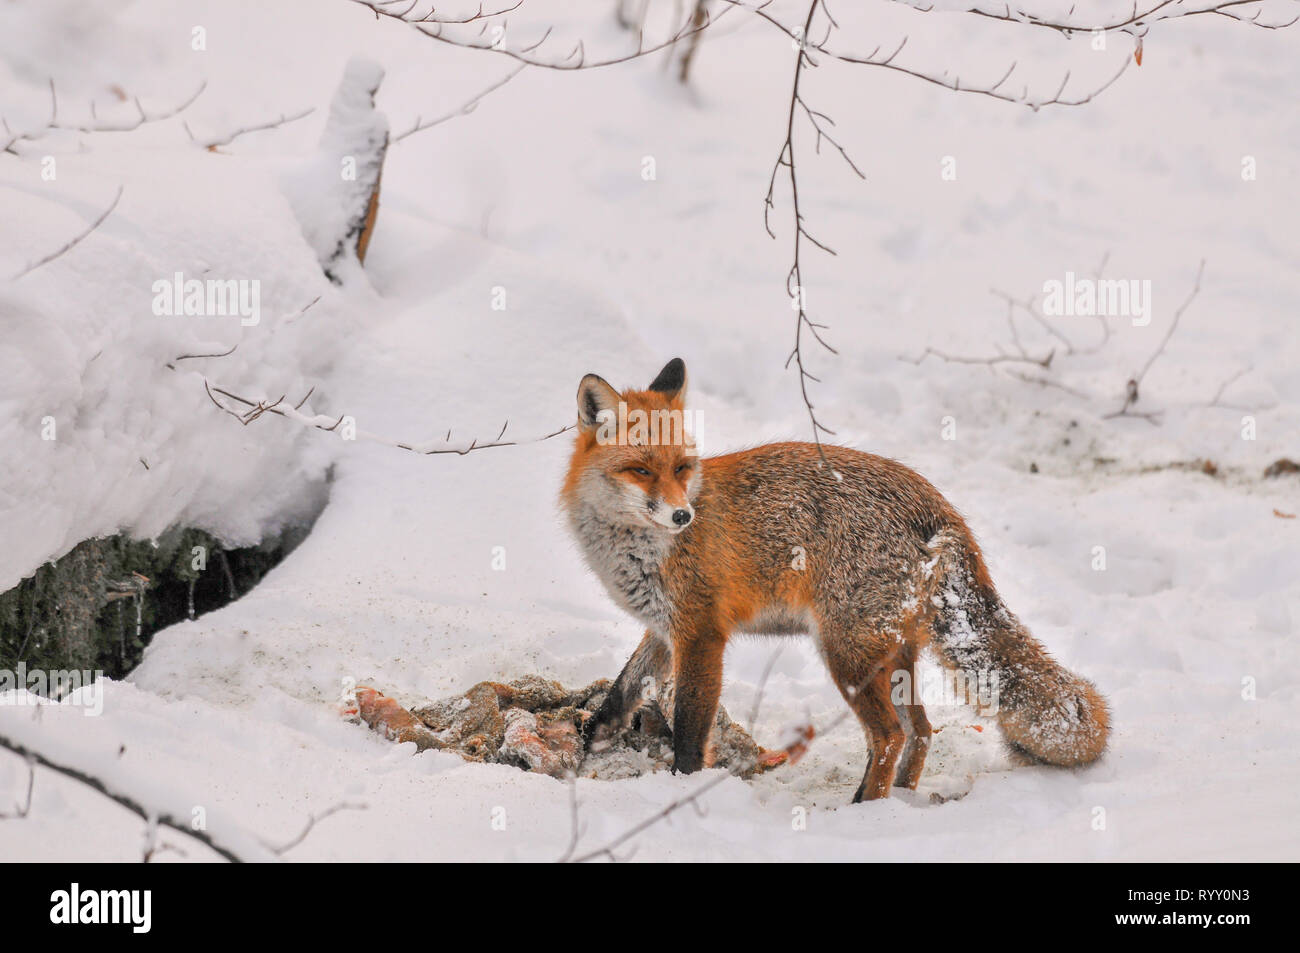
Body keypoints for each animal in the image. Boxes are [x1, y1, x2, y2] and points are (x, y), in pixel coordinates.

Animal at [561, 358, 1109, 802]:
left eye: (681, 467)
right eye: (639, 470)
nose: (682, 516)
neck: (637, 550)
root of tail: (936, 504)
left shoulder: (700, 633)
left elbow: (691, 734)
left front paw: (681, 791)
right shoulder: (664, 627)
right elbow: (621, 693)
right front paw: (591, 742)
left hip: (846, 652)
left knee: (890, 735)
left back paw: (865, 809)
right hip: (892, 654)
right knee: (922, 730)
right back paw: (900, 800)